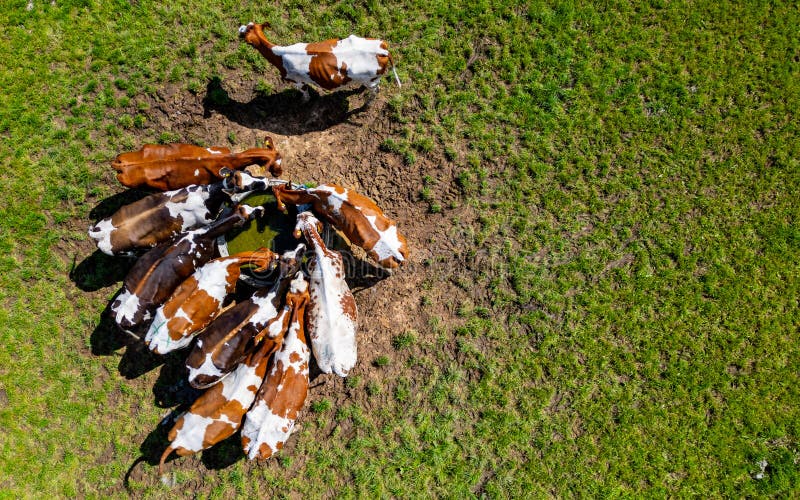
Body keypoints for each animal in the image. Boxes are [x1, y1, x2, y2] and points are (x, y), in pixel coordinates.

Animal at [144, 249, 278, 355]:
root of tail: (153, 342)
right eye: (270, 259)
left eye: (270, 253)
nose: (277, 256)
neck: (230, 262)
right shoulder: (232, 285)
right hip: (185, 341)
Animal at [238, 22, 401, 103]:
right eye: (248, 24)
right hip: (368, 78)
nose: (239, 28)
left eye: (243, 32)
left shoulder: (297, 81)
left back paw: (368, 103)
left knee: (376, 91)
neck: (279, 55)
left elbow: (305, 93)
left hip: (372, 81)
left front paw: (304, 101)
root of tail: (382, 50)